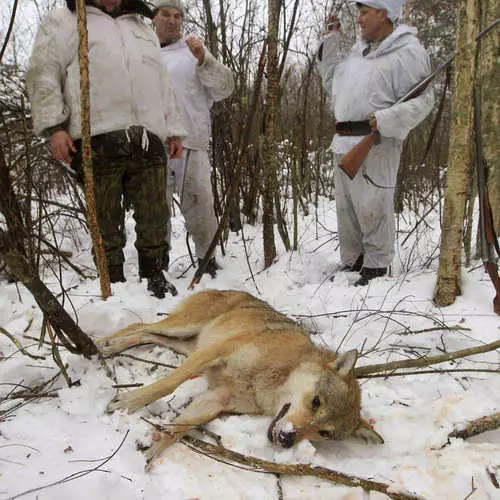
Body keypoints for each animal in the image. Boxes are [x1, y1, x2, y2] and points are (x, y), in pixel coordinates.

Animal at [98, 288, 386, 466]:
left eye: (324, 433)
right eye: (316, 402)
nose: (287, 440)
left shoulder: (216, 400)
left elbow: (179, 429)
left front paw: (148, 452)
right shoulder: (216, 352)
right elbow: (167, 385)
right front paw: (129, 401)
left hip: (185, 344)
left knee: (145, 333)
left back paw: (109, 347)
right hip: (184, 330)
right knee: (139, 325)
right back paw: (101, 343)